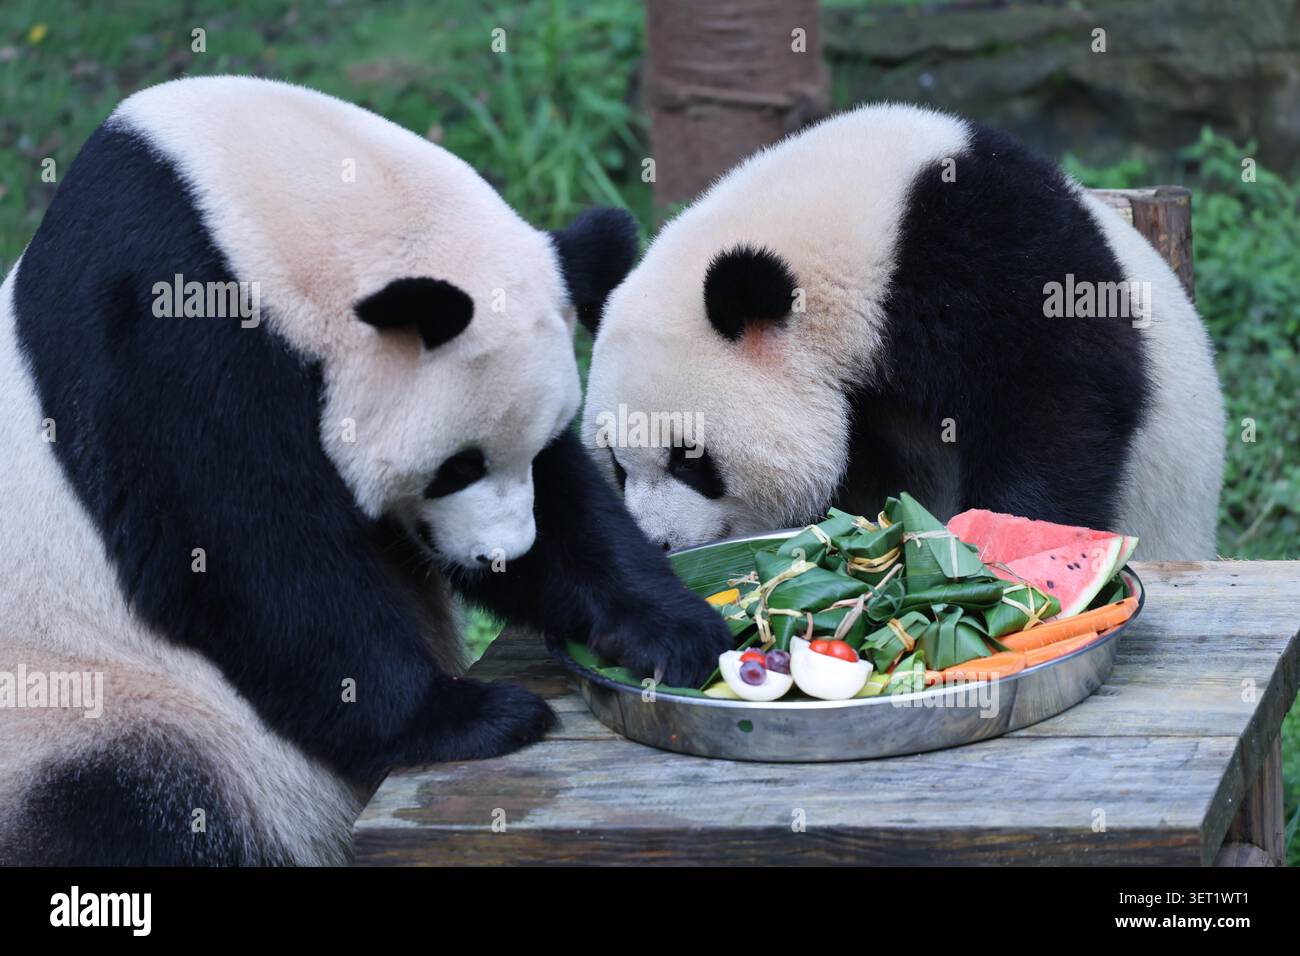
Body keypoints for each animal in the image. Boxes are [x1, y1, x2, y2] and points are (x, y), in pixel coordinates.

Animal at [0, 76, 731, 865]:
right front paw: (468, 714)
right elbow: (247, 557)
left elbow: (572, 509)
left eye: (531, 451)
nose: (501, 554)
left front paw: (675, 632)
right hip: (92, 701)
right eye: (456, 468)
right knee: (125, 806)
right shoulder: (161, 331)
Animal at [582, 104, 1226, 560]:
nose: (659, 542)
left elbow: (1058, 401)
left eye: (691, 459)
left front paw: (1011, 528)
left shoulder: (991, 251)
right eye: (615, 463)